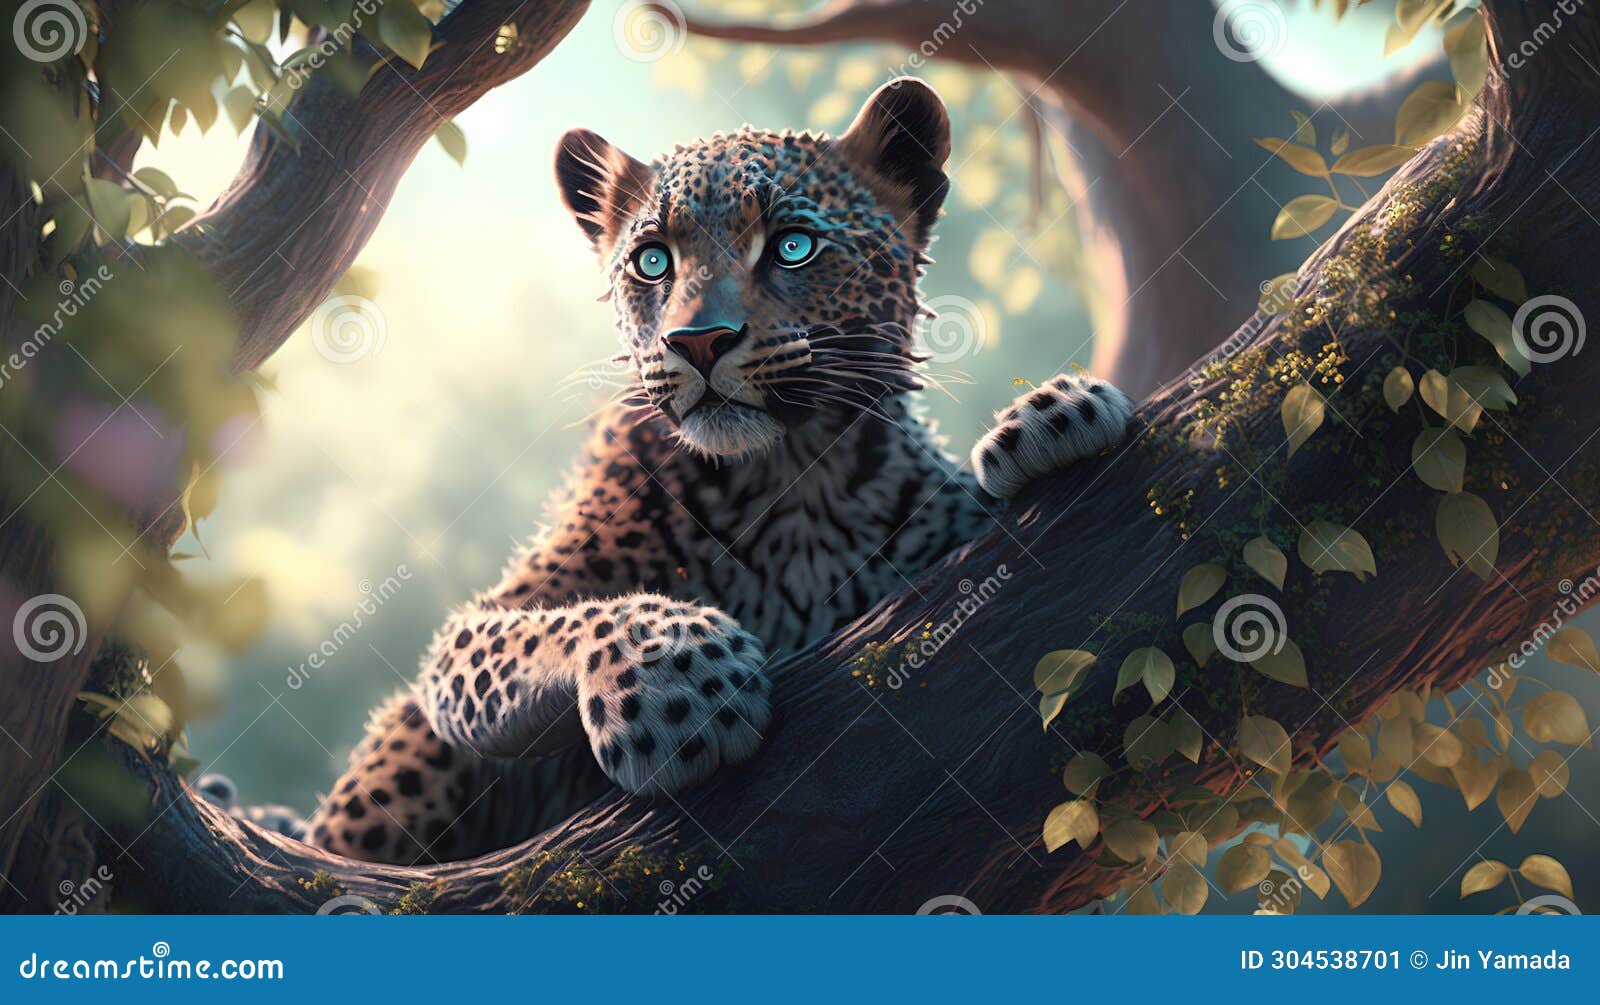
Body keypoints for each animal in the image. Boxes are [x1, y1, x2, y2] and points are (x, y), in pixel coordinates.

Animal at [232, 79, 1135, 866]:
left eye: (793, 246)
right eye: (653, 262)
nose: (698, 341)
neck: (786, 483)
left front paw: (1053, 417)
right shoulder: (486, 621)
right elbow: (542, 629)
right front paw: (675, 677)